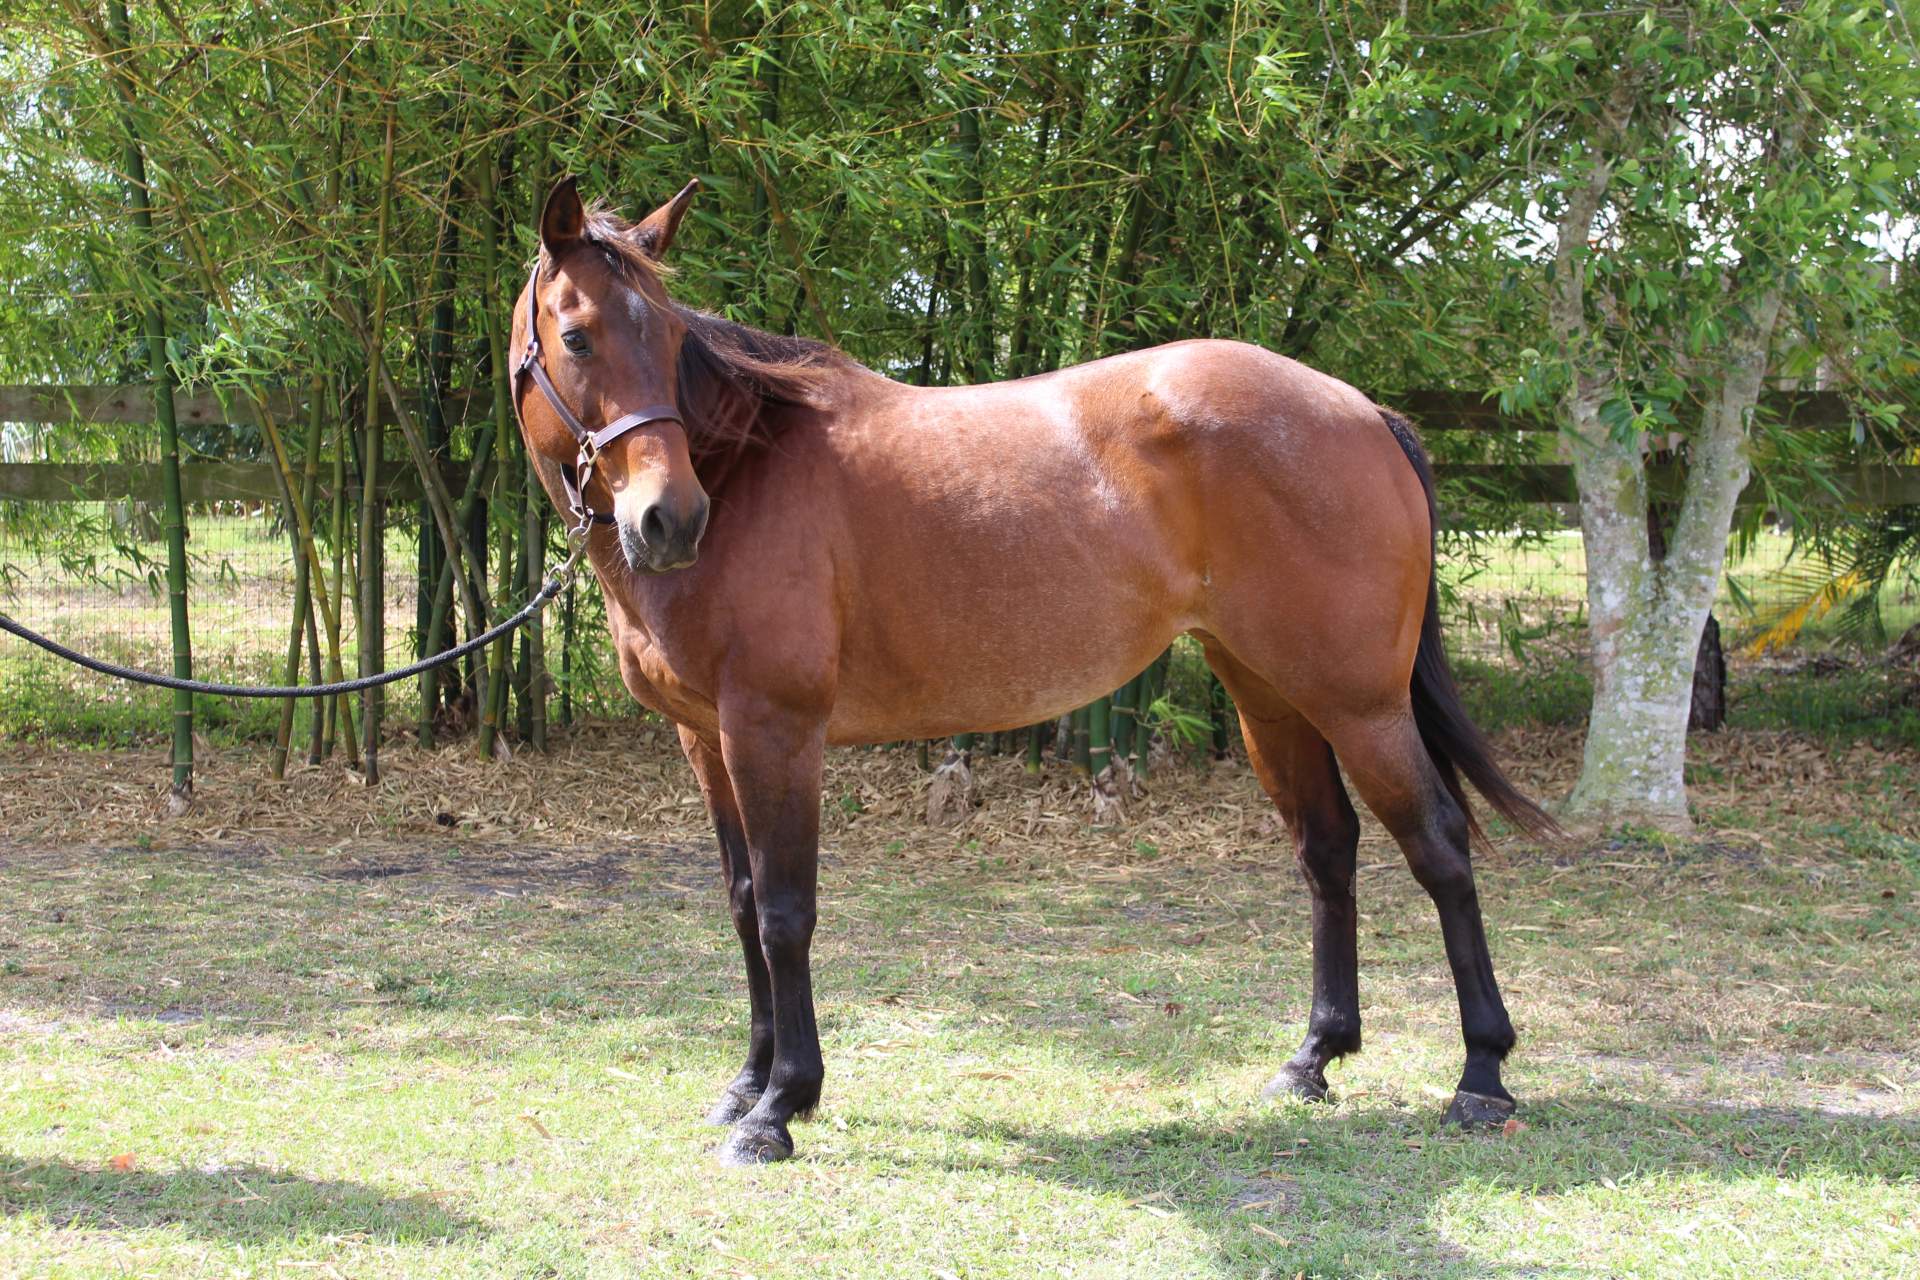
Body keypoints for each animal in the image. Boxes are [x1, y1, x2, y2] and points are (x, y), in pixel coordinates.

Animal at [510, 177, 1555, 1166]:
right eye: (578, 335)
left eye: (670, 336)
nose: (668, 520)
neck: (746, 471)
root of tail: (1361, 409)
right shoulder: (707, 738)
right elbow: (739, 905)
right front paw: (746, 1084)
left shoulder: (775, 729)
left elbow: (782, 911)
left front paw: (779, 1108)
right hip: (1270, 695)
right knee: (1328, 850)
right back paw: (1313, 1059)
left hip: (1359, 702)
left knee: (1439, 846)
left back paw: (1481, 1076)